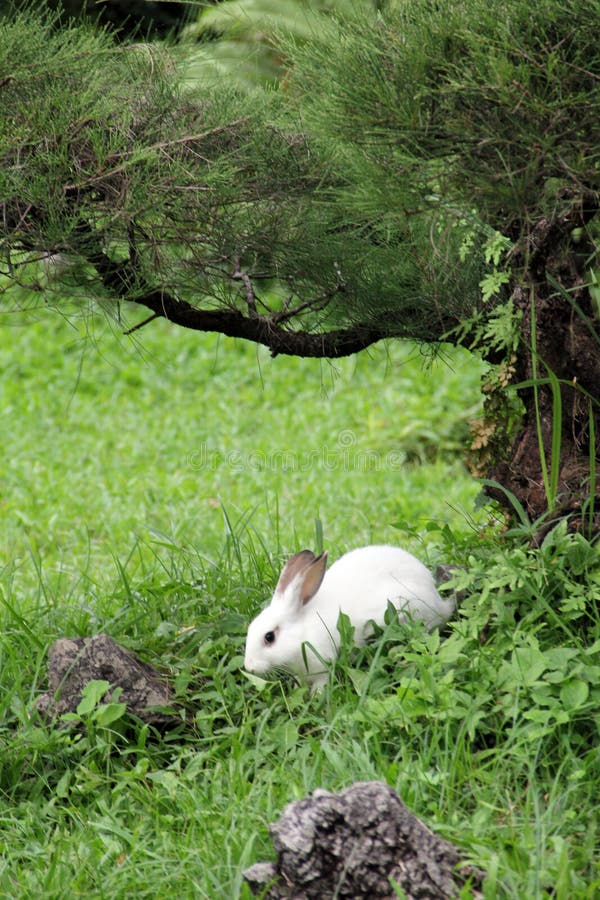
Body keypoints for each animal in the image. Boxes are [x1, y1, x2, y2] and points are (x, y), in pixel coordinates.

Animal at [244, 544, 455, 689]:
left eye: (269, 637)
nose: (249, 667)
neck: (303, 629)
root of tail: (439, 601)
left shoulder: (322, 663)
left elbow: (321, 682)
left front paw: (316, 696)